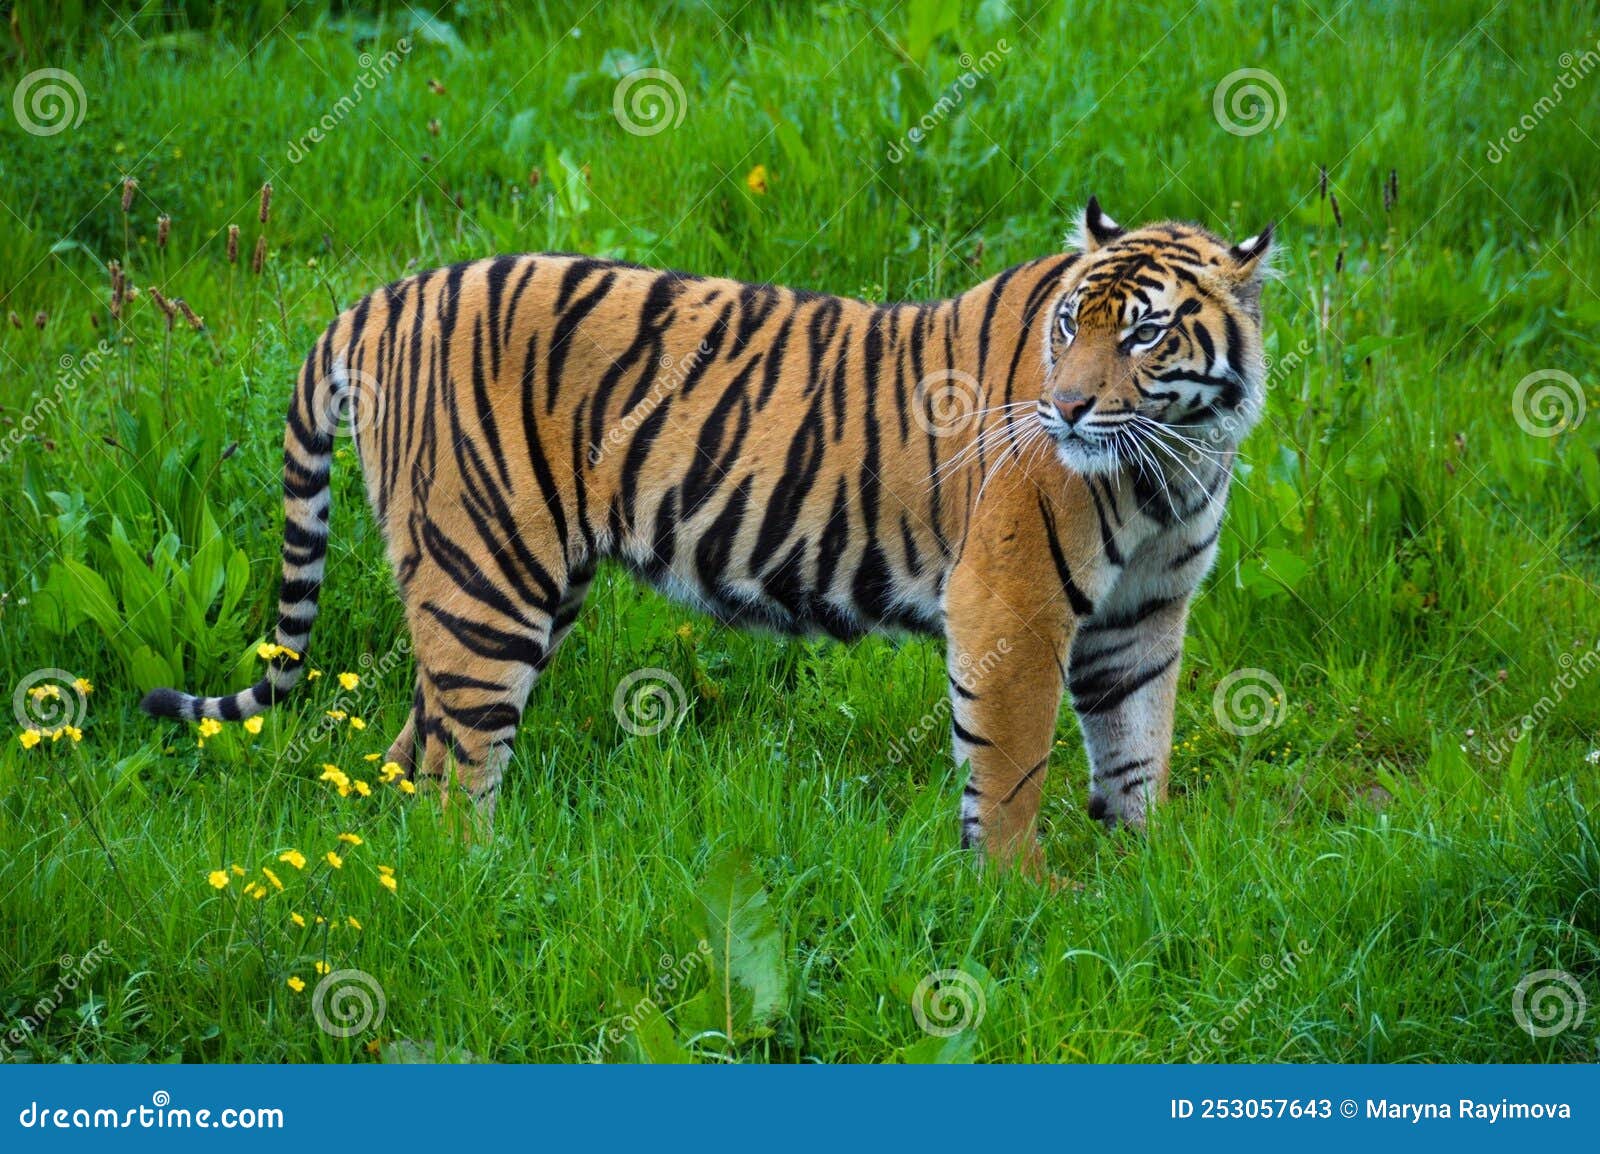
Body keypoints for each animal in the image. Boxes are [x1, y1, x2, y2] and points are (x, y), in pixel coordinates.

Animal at [142, 198, 1274, 878]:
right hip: (487, 583)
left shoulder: (1142, 614)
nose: (1067, 409)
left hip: (513, 586)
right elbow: (1013, 763)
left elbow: (1136, 744)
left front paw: (1144, 876)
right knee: (455, 776)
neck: (1179, 453)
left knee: (412, 752)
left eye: (1144, 333)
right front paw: (1018, 897)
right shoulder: (1013, 602)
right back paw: (487, 889)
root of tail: (385, 295)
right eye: (1070, 326)